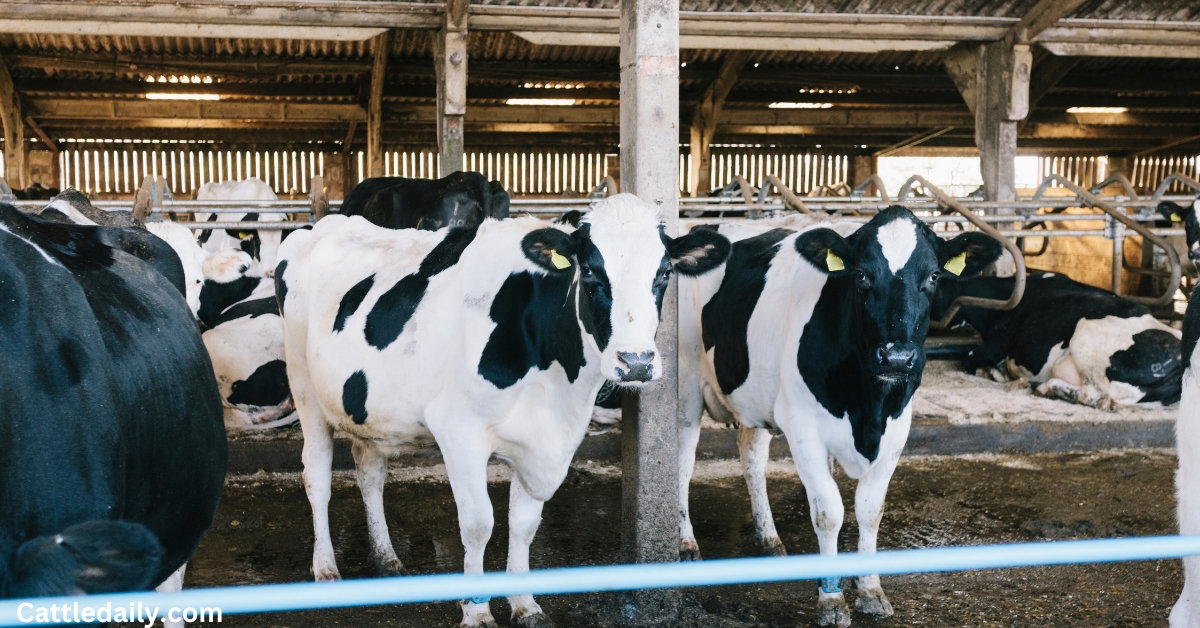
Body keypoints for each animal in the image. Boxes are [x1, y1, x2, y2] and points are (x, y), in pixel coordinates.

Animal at [277, 193, 730, 628]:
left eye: (664, 274)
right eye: (589, 272)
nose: (635, 362)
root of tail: (325, 224)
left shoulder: (547, 441)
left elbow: (524, 525)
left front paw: (525, 605)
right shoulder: (458, 431)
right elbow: (479, 524)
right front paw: (476, 612)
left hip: (366, 408)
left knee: (369, 471)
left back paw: (387, 558)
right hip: (304, 387)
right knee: (316, 476)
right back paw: (326, 568)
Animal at [678, 207, 1003, 627]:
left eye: (933, 276)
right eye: (861, 274)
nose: (896, 357)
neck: (867, 405)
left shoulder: (897, 428)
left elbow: (870, 510)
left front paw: (870, 590)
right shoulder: (802, 427)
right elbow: (829, 511)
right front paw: (831, 600)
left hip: (757, 394)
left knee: (751, 457)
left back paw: (768, 537)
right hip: (684, 386)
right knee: (681, 460)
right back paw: (686, 543)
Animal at [932, 272, 1183, 408]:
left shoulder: (995, 344)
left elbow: (968, 360)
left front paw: (995, 372)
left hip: (1086, 335)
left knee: (1090, 395)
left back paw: (1044, 387)